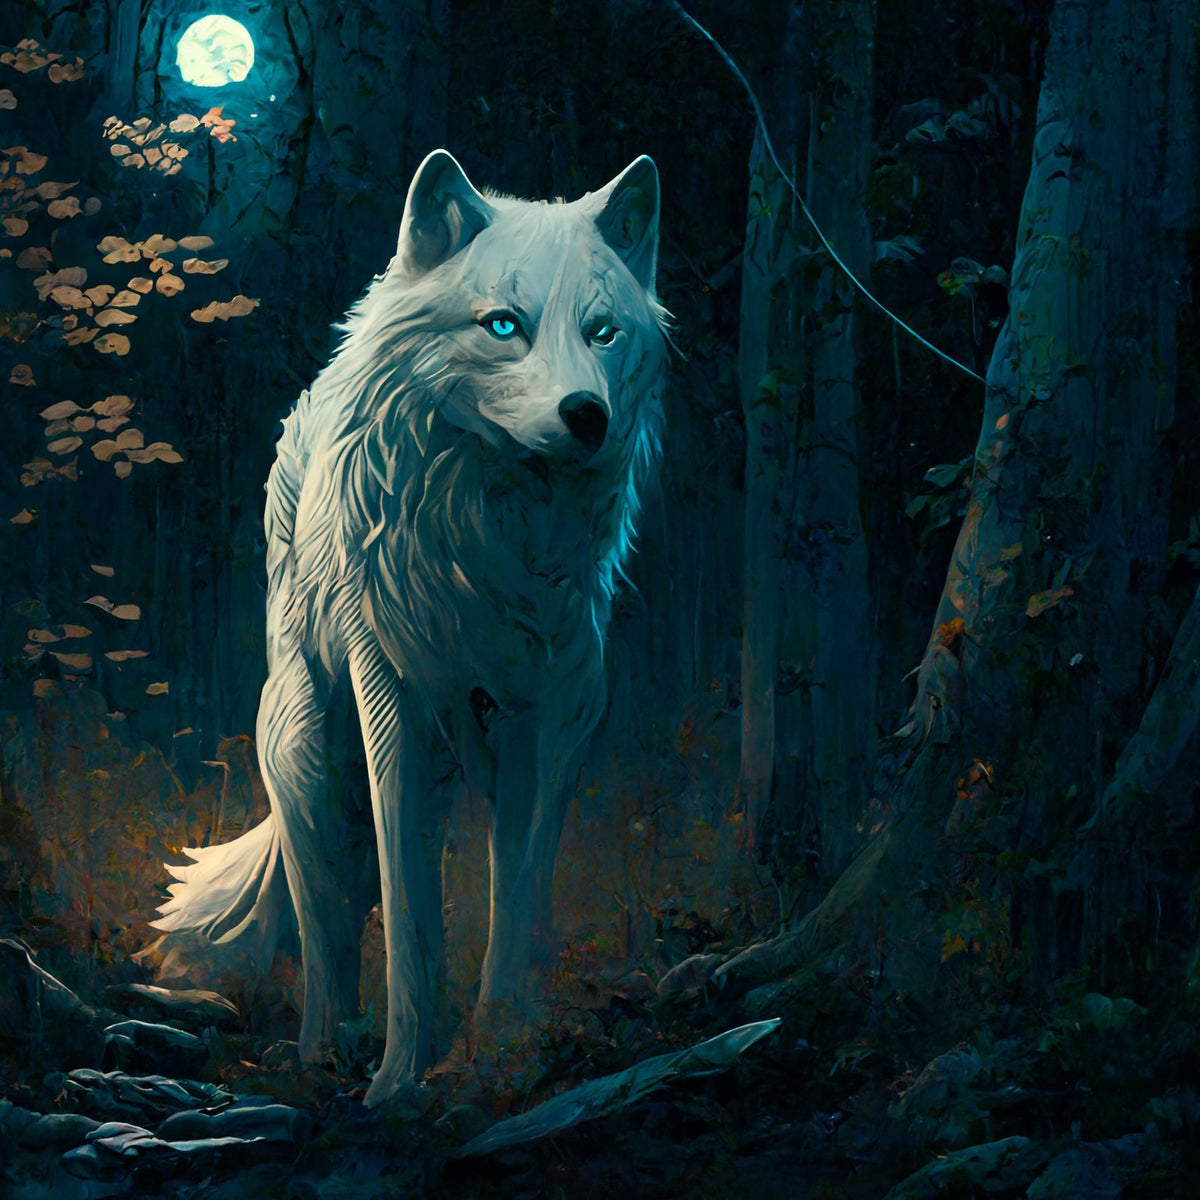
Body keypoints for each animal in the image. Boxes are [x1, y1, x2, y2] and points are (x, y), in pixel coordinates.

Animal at [152, 149, 668, 1107]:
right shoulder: (392, 699)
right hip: (314, 757)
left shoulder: (553, 714)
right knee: (325, 910)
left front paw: (502, 1047)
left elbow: (520, 889)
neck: (489, 539)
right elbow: (409, 912)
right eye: (504, 325)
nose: (587, 414)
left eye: (603, 332)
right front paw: (399, 1080)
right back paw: (325, 1048)